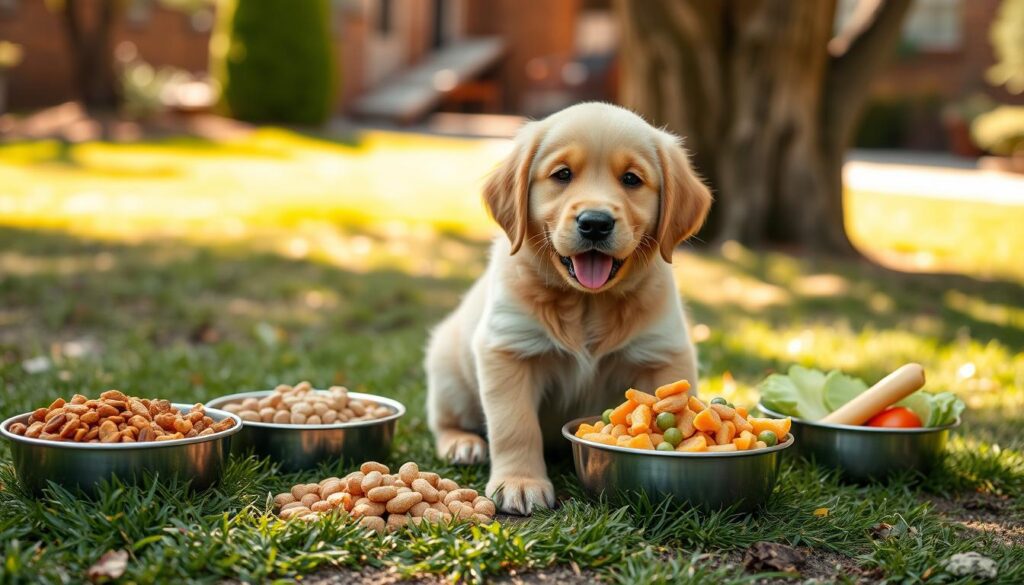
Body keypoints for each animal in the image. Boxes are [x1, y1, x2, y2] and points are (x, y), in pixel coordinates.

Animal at [423, 102, 712, 514]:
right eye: (562, 174)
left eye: (631, 179)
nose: (595, 223)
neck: (586, 304)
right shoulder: (507, 349)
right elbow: (514, 425)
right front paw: (521, 483)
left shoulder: (664, 353)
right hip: (449, 371)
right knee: (446, 422)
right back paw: (463, 443)